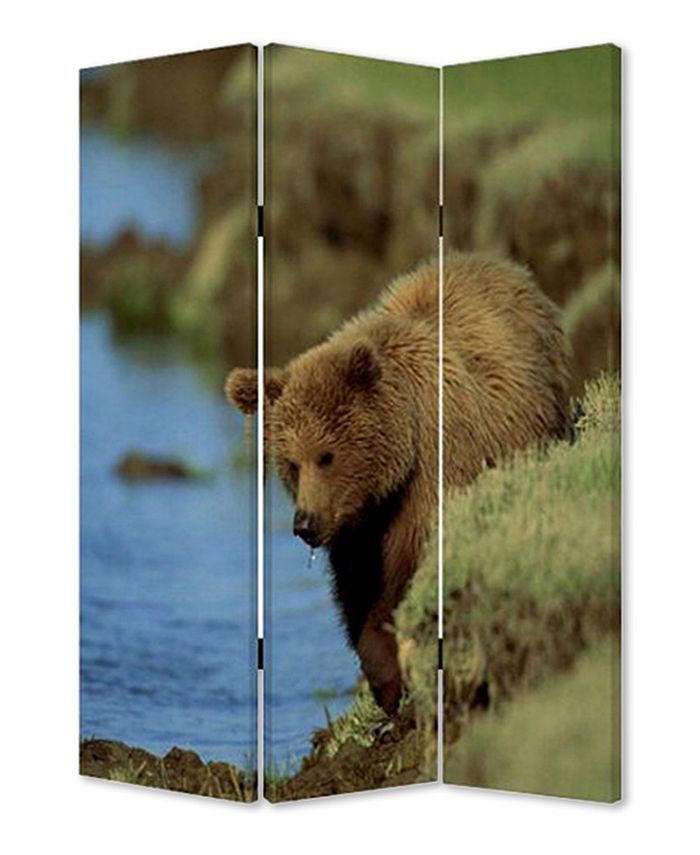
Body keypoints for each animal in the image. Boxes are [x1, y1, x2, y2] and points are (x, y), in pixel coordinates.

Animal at [225, 253, 570, 715]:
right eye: (291, 464)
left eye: (326, 456)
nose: (305, 524)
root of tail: (507, 267)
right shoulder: (356, 529)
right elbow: (358, 592)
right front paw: (386, 681)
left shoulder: (431, 476)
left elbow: (407, 573)